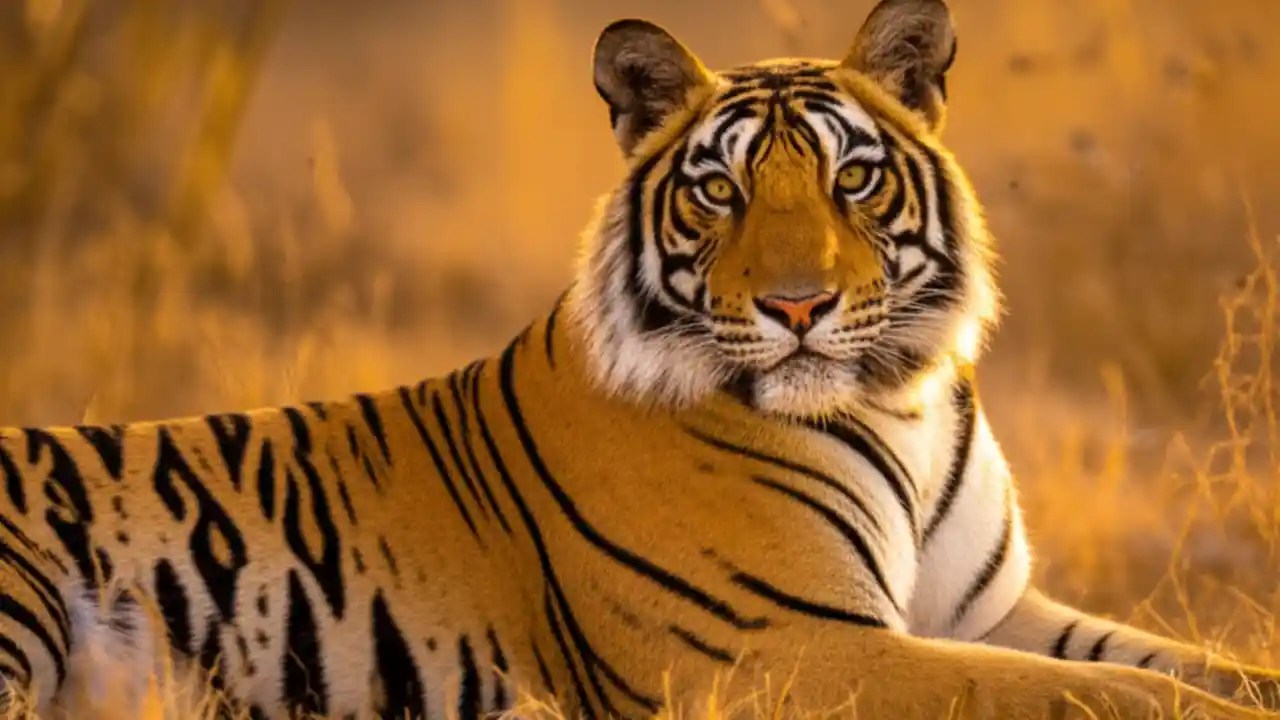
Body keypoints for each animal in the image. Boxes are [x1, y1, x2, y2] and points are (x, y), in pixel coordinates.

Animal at [1, 0, 1278, 718]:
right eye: (720, 192)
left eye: (850, 179)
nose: (797, 304)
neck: (898, 405)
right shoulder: (777, 647)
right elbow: (1095, 692)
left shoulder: (990, 609)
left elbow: (1187, 658)